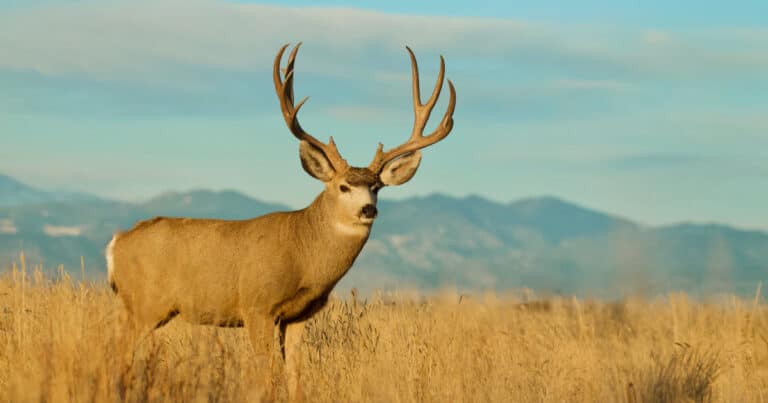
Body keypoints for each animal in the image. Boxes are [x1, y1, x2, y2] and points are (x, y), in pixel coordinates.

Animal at [106, 43, 456, 401]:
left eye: (376, 187)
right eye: (343, 186)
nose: (367, 210)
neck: (303, 252)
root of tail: (116, 244)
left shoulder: (299, 315)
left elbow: (295, 376)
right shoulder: (257, 306)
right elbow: (264, 377)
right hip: (146, 302)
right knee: (118, 350)